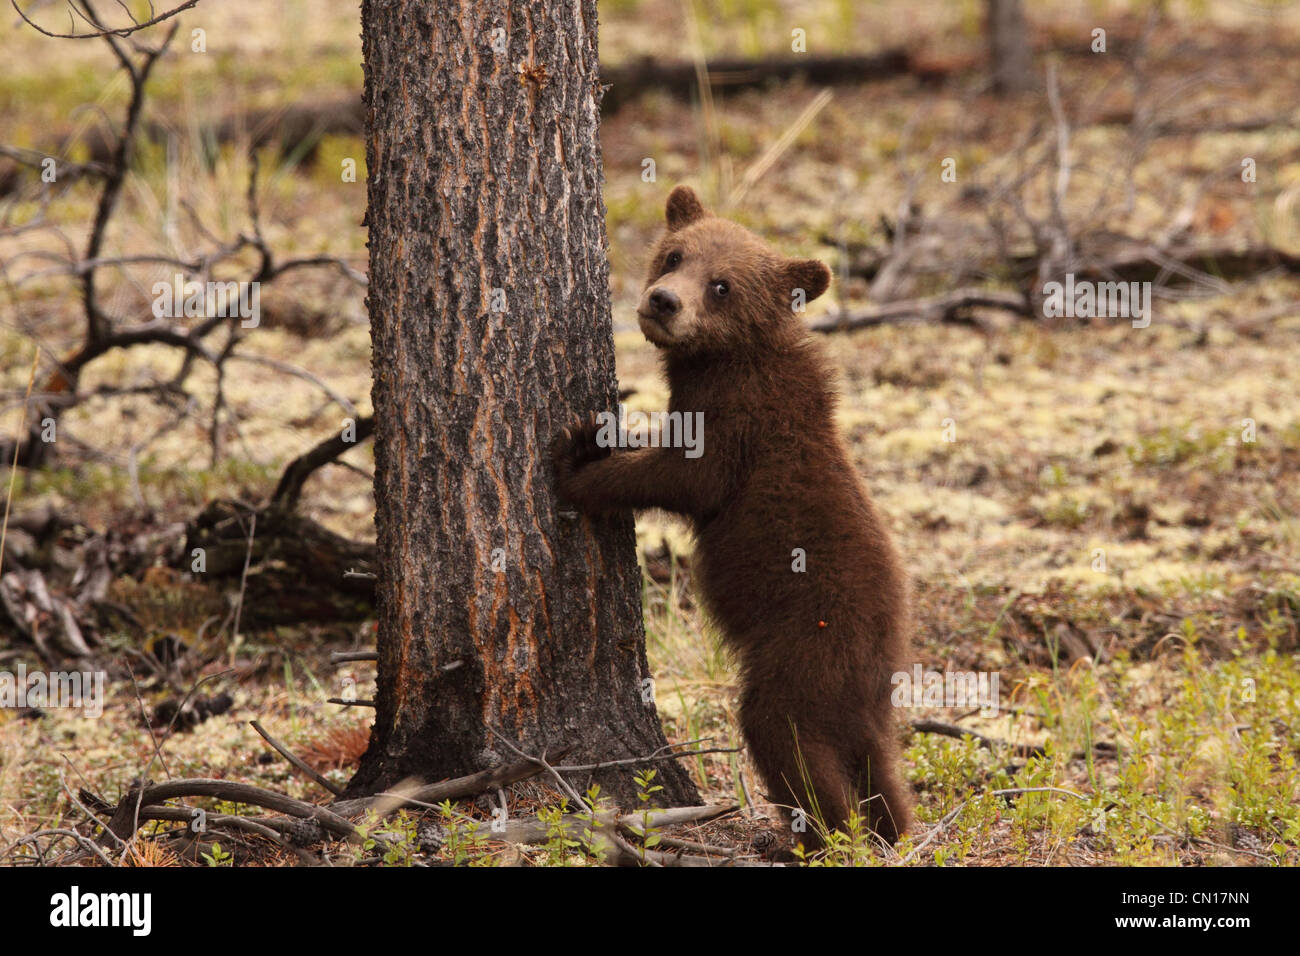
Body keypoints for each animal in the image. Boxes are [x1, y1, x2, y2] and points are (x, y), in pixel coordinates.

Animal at [552, 185, 912, 847]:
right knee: (879, 772)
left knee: (784, 735)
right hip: (863, 702)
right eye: (674, 254)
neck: (725, 357)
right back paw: (887, 830)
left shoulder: (741, 420)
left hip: (807, 649)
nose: (664, 301)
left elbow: (686, 475)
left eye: (721, 285)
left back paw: (818, 837)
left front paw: (580, 460)